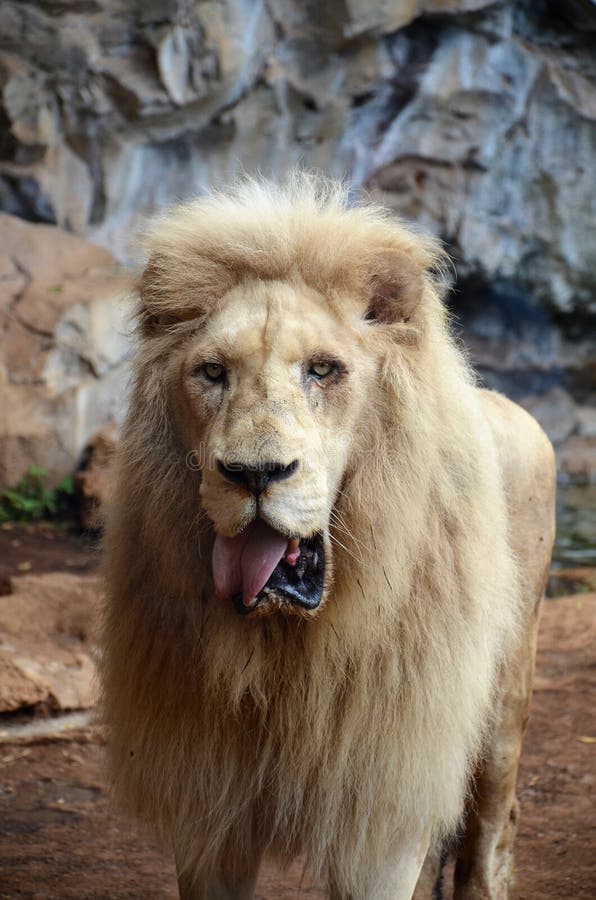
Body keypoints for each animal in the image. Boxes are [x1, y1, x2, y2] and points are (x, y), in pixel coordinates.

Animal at [100, 175, 556, 900]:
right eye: (212, 373)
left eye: (322, 370)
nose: (254, 473)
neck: (290, 649)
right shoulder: (208, 809)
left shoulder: (383, 810)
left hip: (506, 700)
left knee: (491, 827)